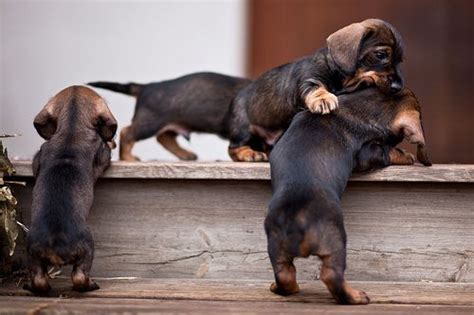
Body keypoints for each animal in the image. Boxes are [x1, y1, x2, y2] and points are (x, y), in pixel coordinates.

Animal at [24, 86, 117, 294]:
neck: (72, 130)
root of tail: (56, 241)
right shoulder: (103, 153)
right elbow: (106, 149)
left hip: (33, 253)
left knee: (40, 280)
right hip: (87, 246)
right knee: (79, 276)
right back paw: (91, 285)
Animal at [90, 72, 252, 162]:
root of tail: (147, 87)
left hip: (173, 124)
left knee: (163, 137)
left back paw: (186, 154)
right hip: (149, 123)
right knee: (127, 132)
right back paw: (127, 158)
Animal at [226, 18, 404, 162]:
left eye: (399, 61)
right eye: (381, 55)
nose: (398, 87)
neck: (339, 77)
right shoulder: (309, 80)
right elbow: (316, 89)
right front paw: (323, 99)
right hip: (244, 129)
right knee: (233, 148)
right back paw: (248, 153)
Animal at [264, 87, 432, 304]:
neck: (361, 105)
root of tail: (296, 218)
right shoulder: (367, 154)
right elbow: (387, 152)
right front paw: (406, 155)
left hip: (276, 248)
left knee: (285, 274)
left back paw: (282, 287)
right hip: (334, 240)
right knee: (332, 275)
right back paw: (356, 296)